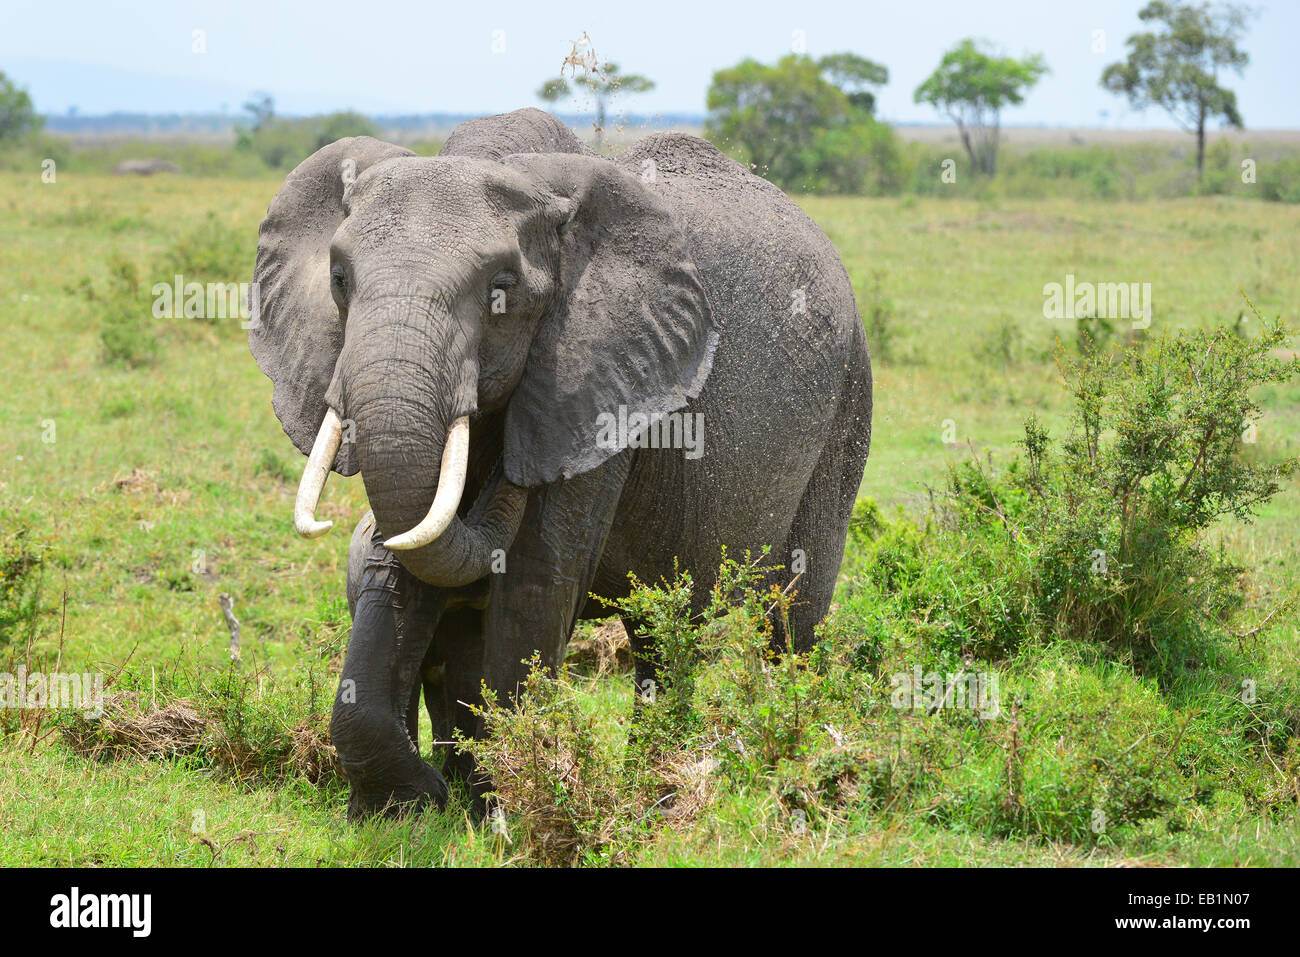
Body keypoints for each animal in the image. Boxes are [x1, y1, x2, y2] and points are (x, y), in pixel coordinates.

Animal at [249, 108, 872, 819]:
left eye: (501, 291)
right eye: (339, 280)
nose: (503, 480)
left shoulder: (602, 377)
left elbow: (536, 576)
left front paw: (510, 801)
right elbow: (403, 559)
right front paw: (410, 805)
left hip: (848, 403)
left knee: (792, 622)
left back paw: (787, 769)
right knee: (661, 638)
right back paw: (660, 786)